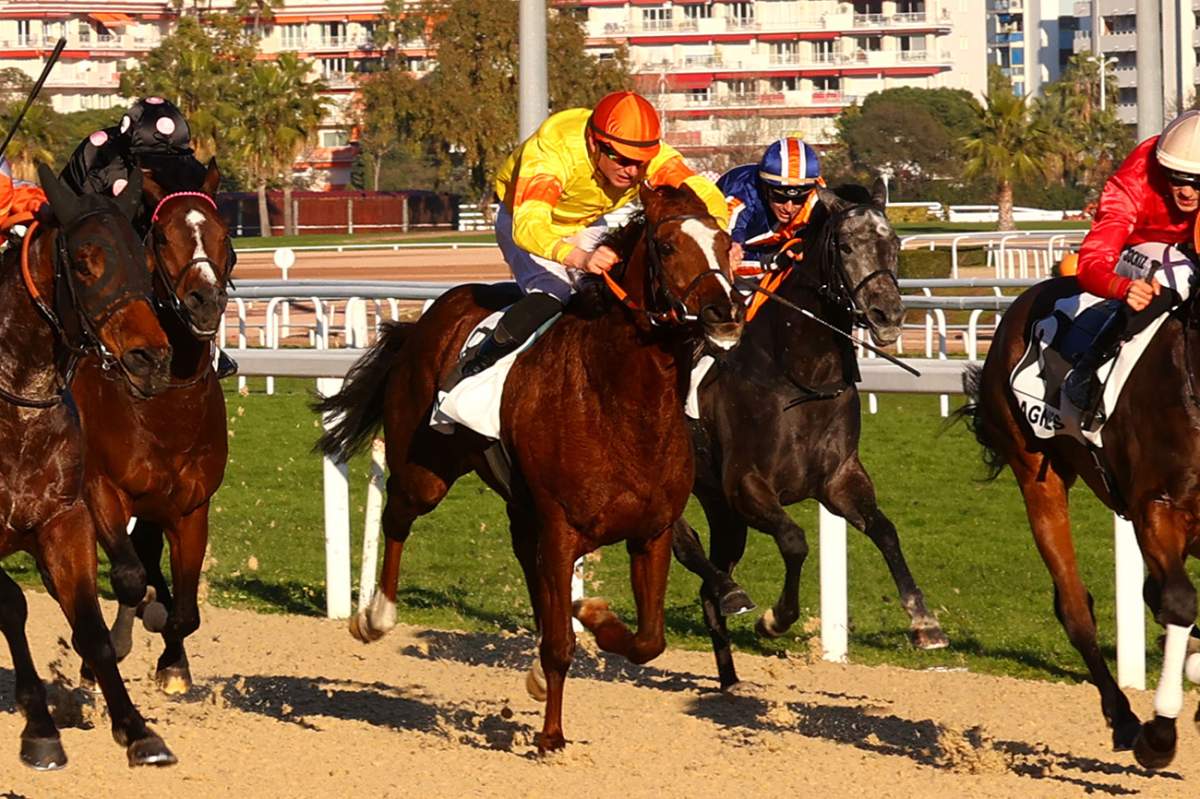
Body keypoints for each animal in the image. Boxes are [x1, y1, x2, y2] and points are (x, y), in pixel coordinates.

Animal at [0, 165, 175, 768]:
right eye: (83, 261)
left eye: (143, 258)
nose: (151, 358)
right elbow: (14, 608)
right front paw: (39, 725)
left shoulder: (63, 518)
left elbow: (91, 625)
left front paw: (137, 728)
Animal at [72, 160, 232, 696]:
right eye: (162, 237)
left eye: (224, 233)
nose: (204, 301)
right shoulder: (100, 490)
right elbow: (128, 577)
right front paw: (107, 651)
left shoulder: (189, 506)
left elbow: (184, 608)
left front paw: (174, 664)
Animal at [315, 184, 744, 752]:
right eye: (669, 246)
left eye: (725, 242)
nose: (726, 312)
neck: (621, 402)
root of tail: (426, 318)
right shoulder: (562, 528)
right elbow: (562, 643)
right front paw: (551, 735)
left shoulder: (651, 532)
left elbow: (649, 640)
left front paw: (595, 617)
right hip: (425, 470)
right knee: (398, 517)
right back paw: (375, 616)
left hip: (519, 502)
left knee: (524, 557)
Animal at [670, 181, 947, 688]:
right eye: (846, 246)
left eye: (895, 245)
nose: (888, 314)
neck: (800, 376)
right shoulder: (746, 485)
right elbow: (795, 541)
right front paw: (774, 619)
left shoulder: (838, 479)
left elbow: (886, 530)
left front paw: (924, 622)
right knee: (687, 547)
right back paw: (732, 593)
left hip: (720, 506)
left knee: (709, 584)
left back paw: (730, 676)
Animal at [960, 268, 1200, 769]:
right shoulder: (1157, 509)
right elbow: (1180, 601)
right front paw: (1160, 733)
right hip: (1037, 474)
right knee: (1075, 607)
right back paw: (1126, 718)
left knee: (1150, 595)